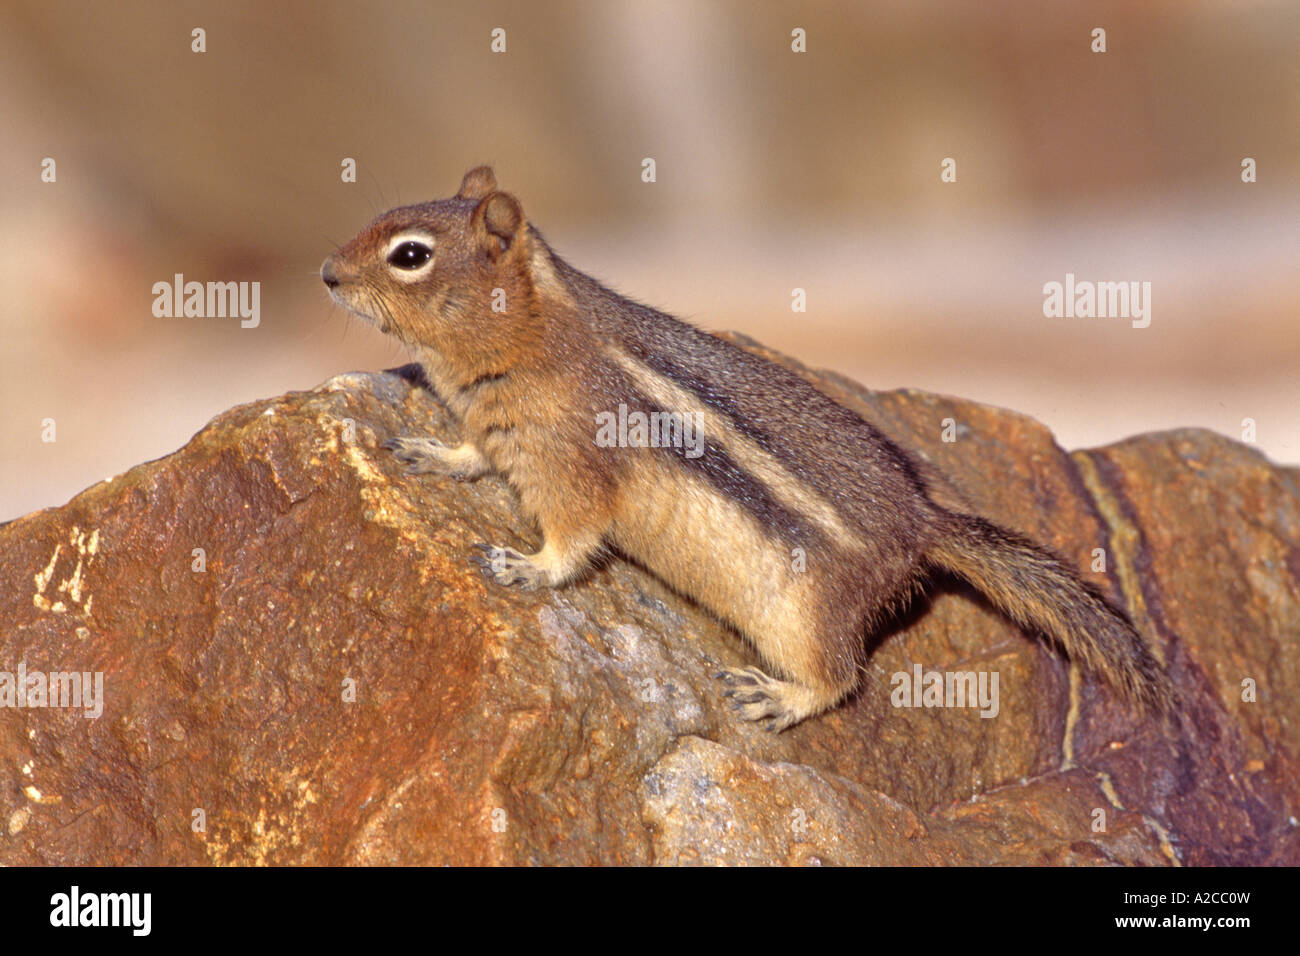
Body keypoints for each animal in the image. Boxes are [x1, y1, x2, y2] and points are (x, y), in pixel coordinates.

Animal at [320, 165, 1176, 731]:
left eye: (409, 254)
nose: (326, 273)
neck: (529, 333)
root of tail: (922, 525)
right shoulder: (504, 435)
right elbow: (475, 454)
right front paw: (434, 453)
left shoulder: (573, 464)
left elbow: (576, 537)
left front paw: (526, 566)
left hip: (804, 615)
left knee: (841, 677)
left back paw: (777, 696)